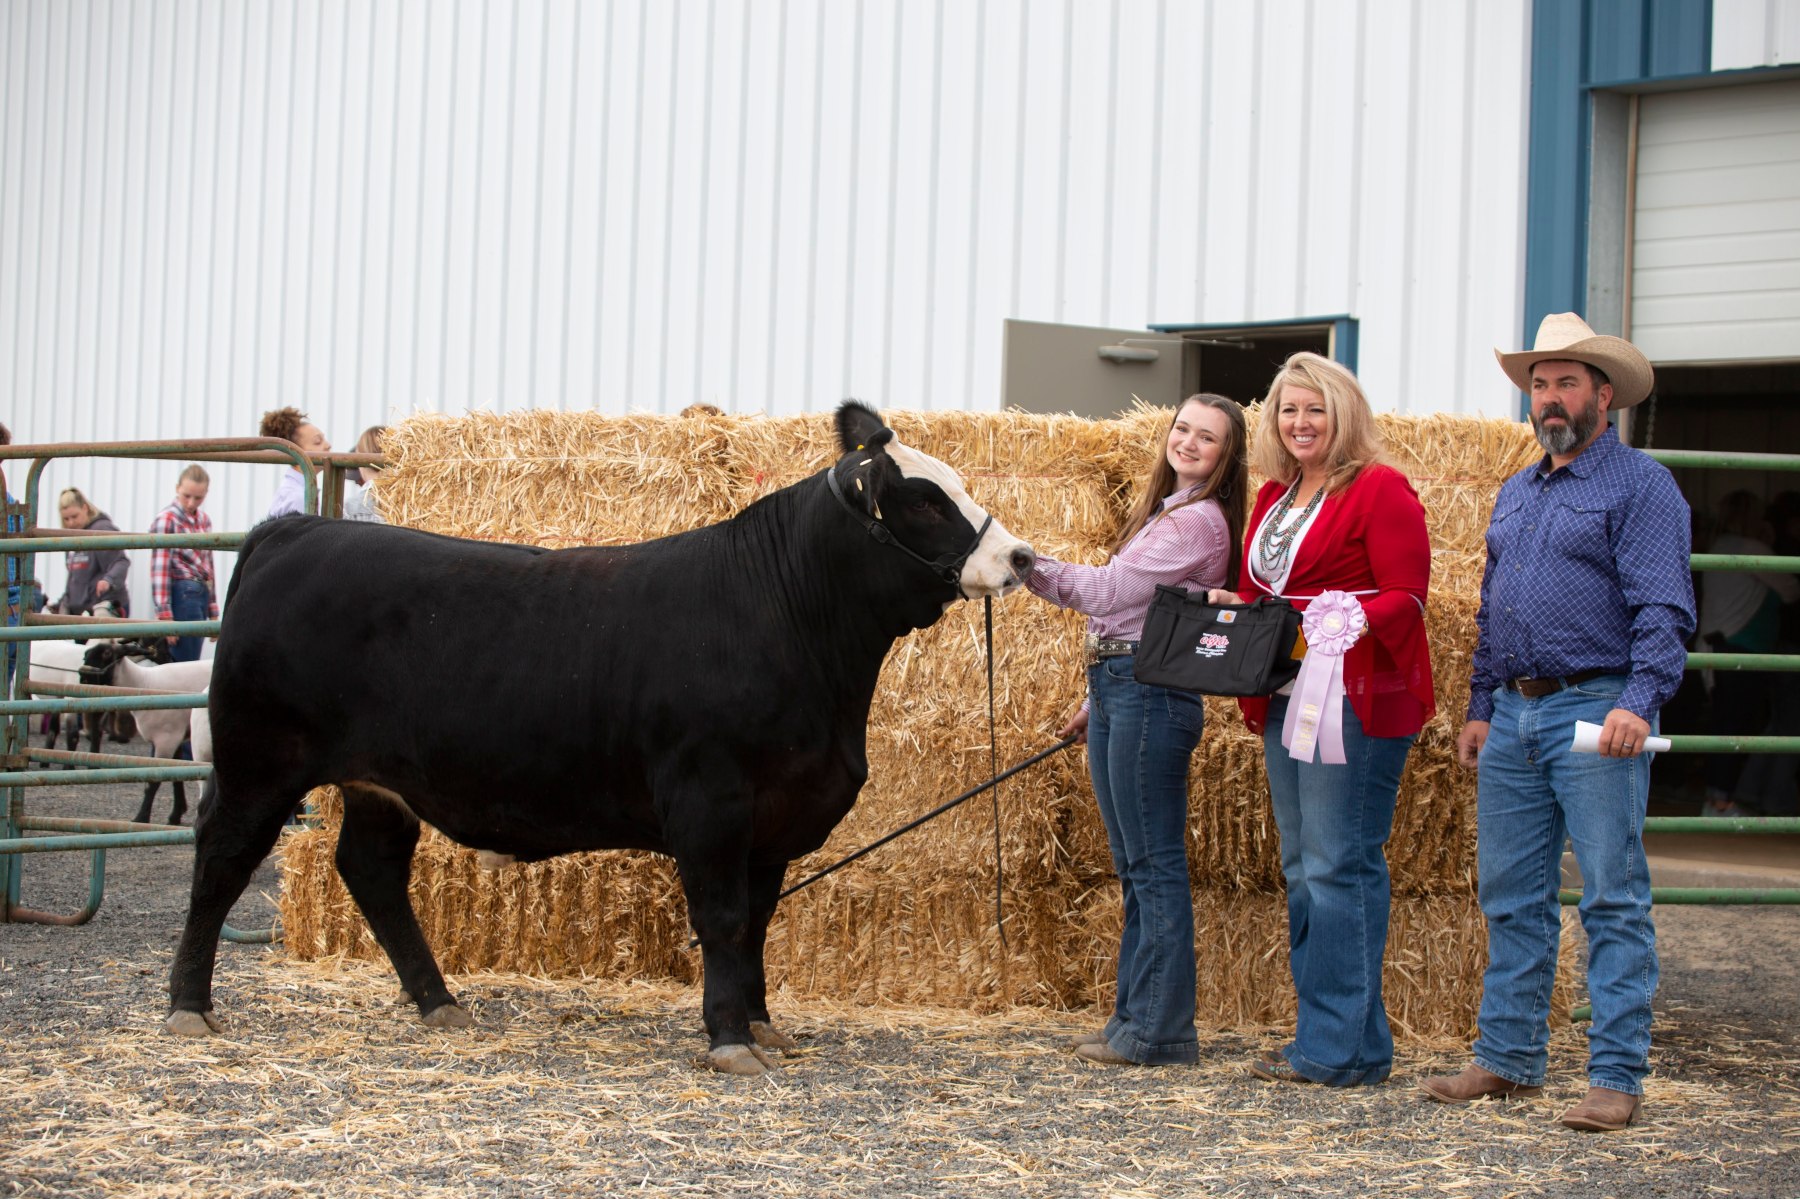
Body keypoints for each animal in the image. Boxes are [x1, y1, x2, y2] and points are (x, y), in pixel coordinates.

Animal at [164, 402, 1036, 1075]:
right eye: (924, 501)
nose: (1021, 556)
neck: (790, 620)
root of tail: (298, 531)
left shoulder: (776, 815)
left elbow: (757, 922)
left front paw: (760, 1025)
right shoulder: (711, 801)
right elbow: (723, 919)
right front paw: (729, 1039)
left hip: (379, 783)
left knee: (370, 870)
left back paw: (439, 1001)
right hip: (257, 761)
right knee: (221, 861)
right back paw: (188, 1006)